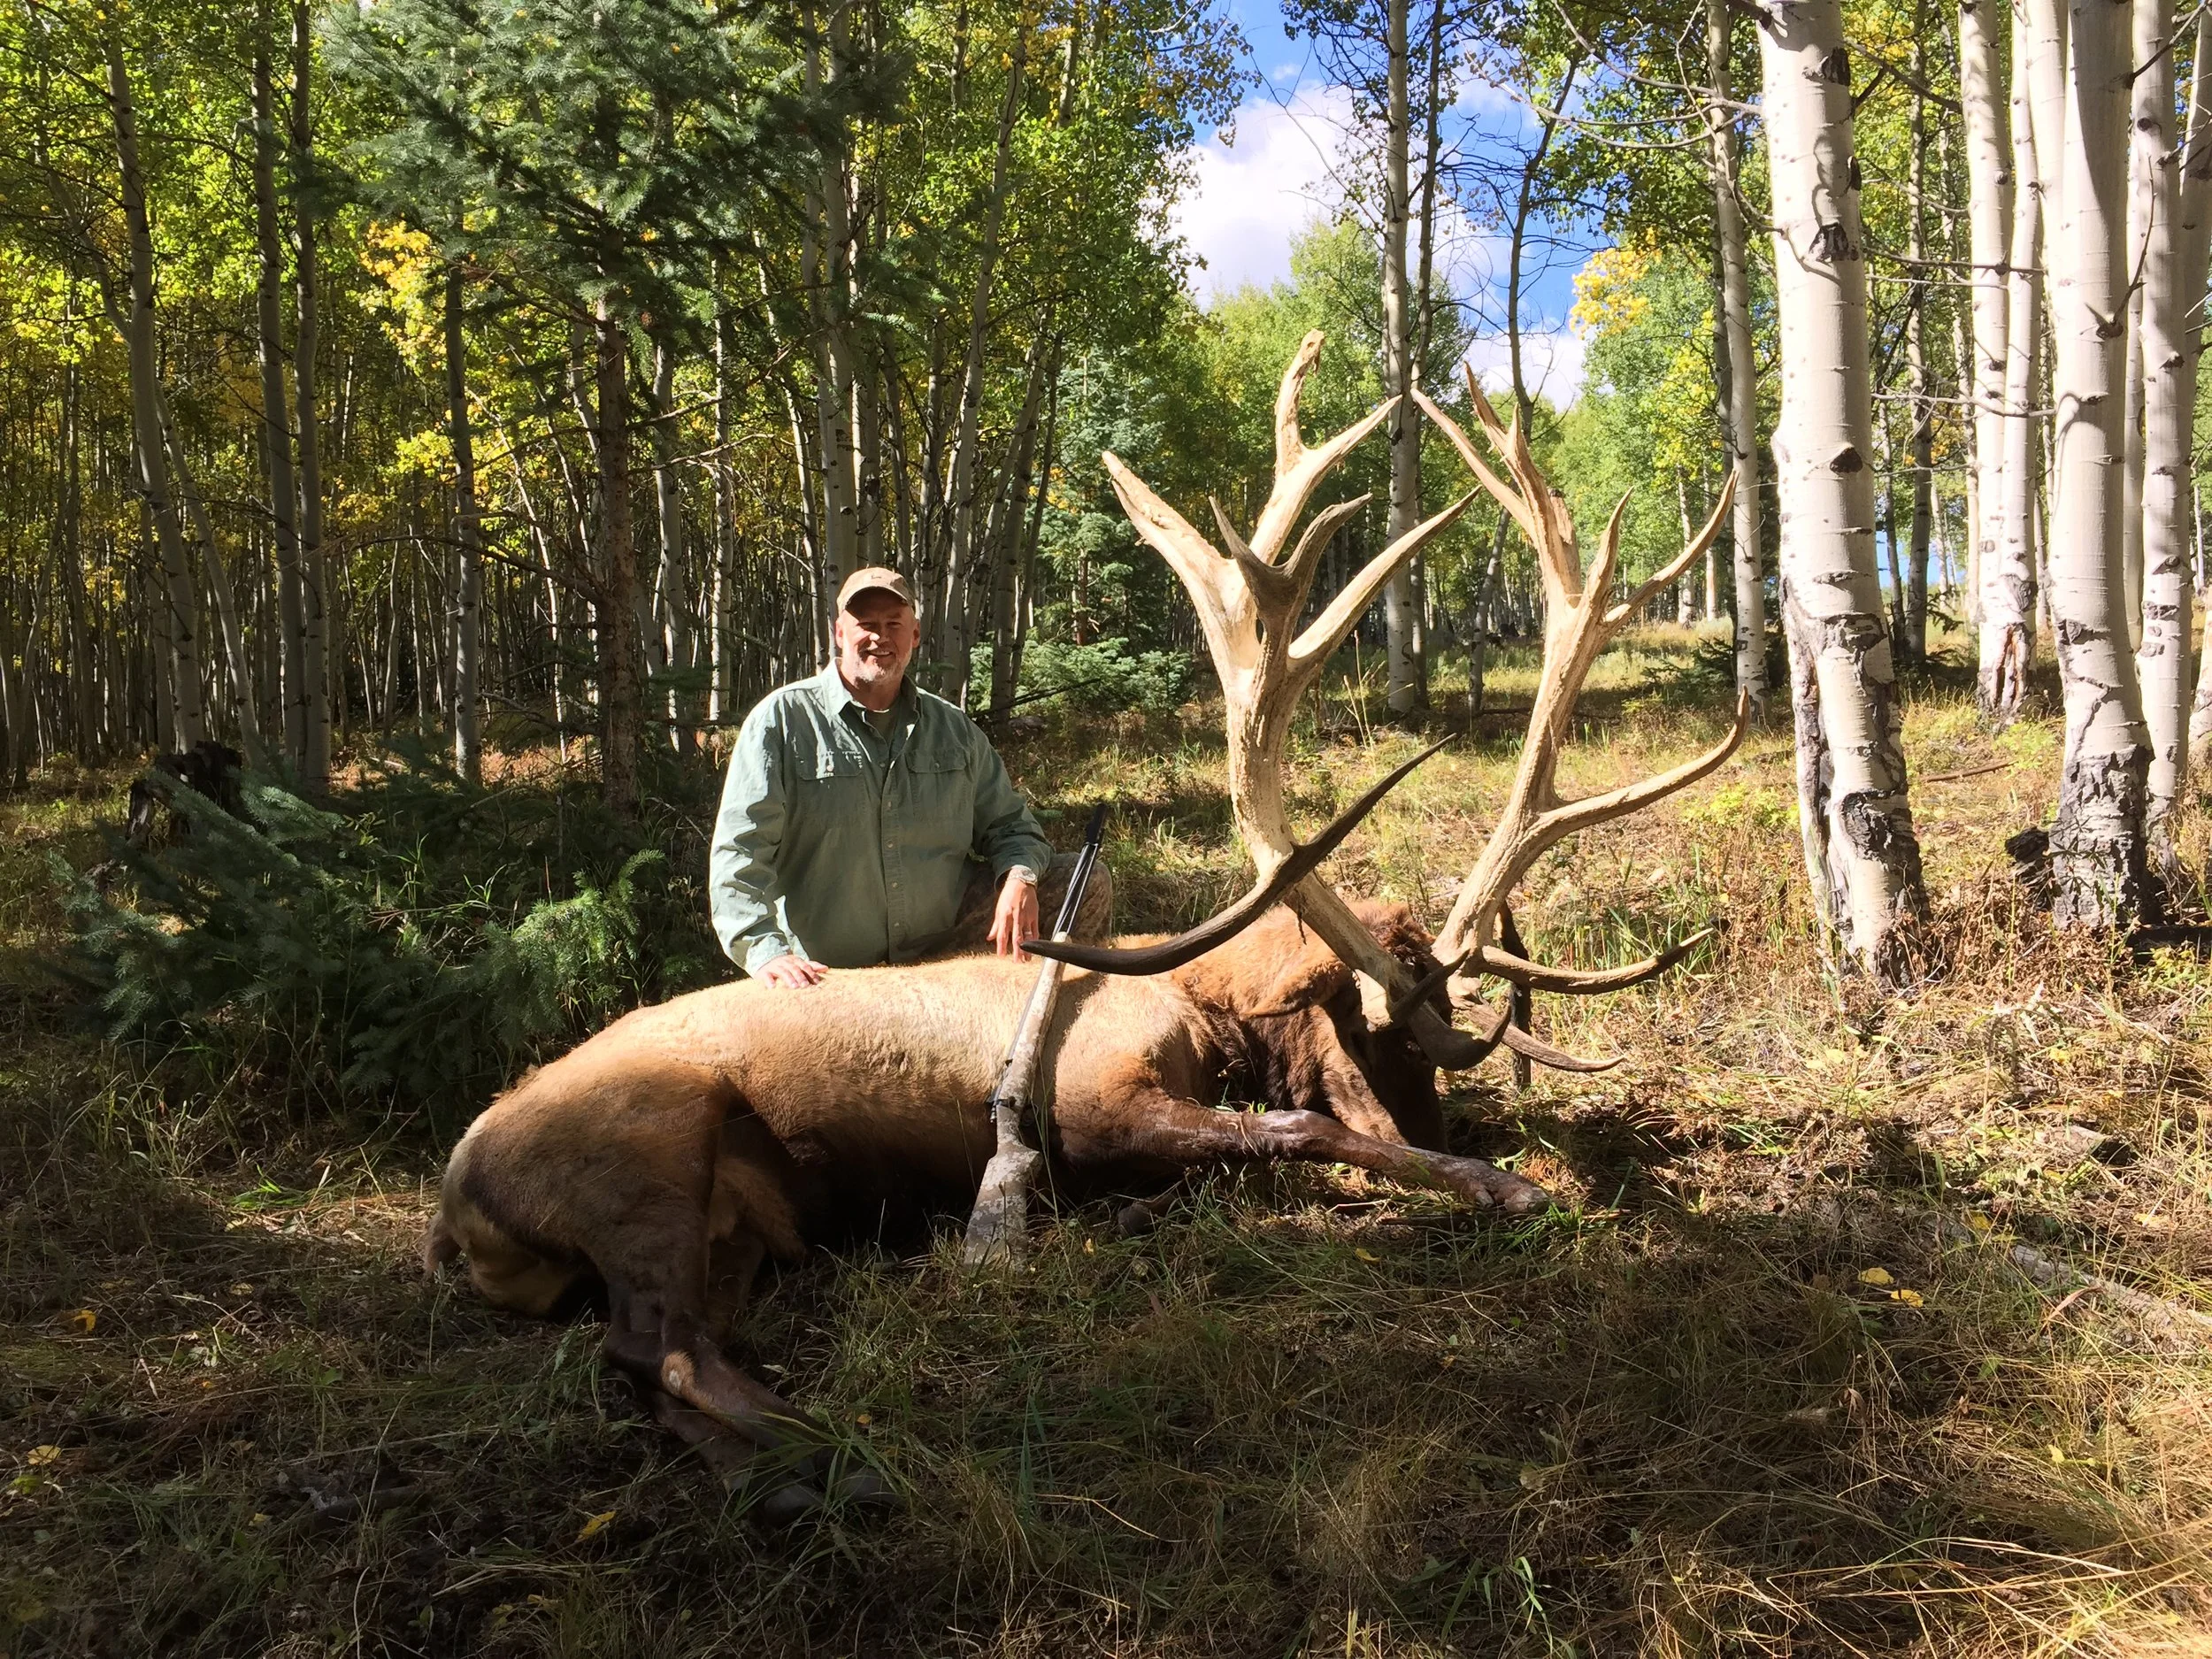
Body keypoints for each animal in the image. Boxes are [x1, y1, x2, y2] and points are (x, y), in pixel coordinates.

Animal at [422, 334, 1745, 1520]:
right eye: (1382, 1031)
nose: (1446, 1116)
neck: (1209, 1006)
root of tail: (454, 1199)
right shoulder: (1094, 1104)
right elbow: (1303, 1129)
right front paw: (1502, 1184)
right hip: (651, 1153)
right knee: (654, 1347)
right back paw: (837, 1455)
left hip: (739, 1226)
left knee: (653, 1359)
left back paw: (789, 1465)